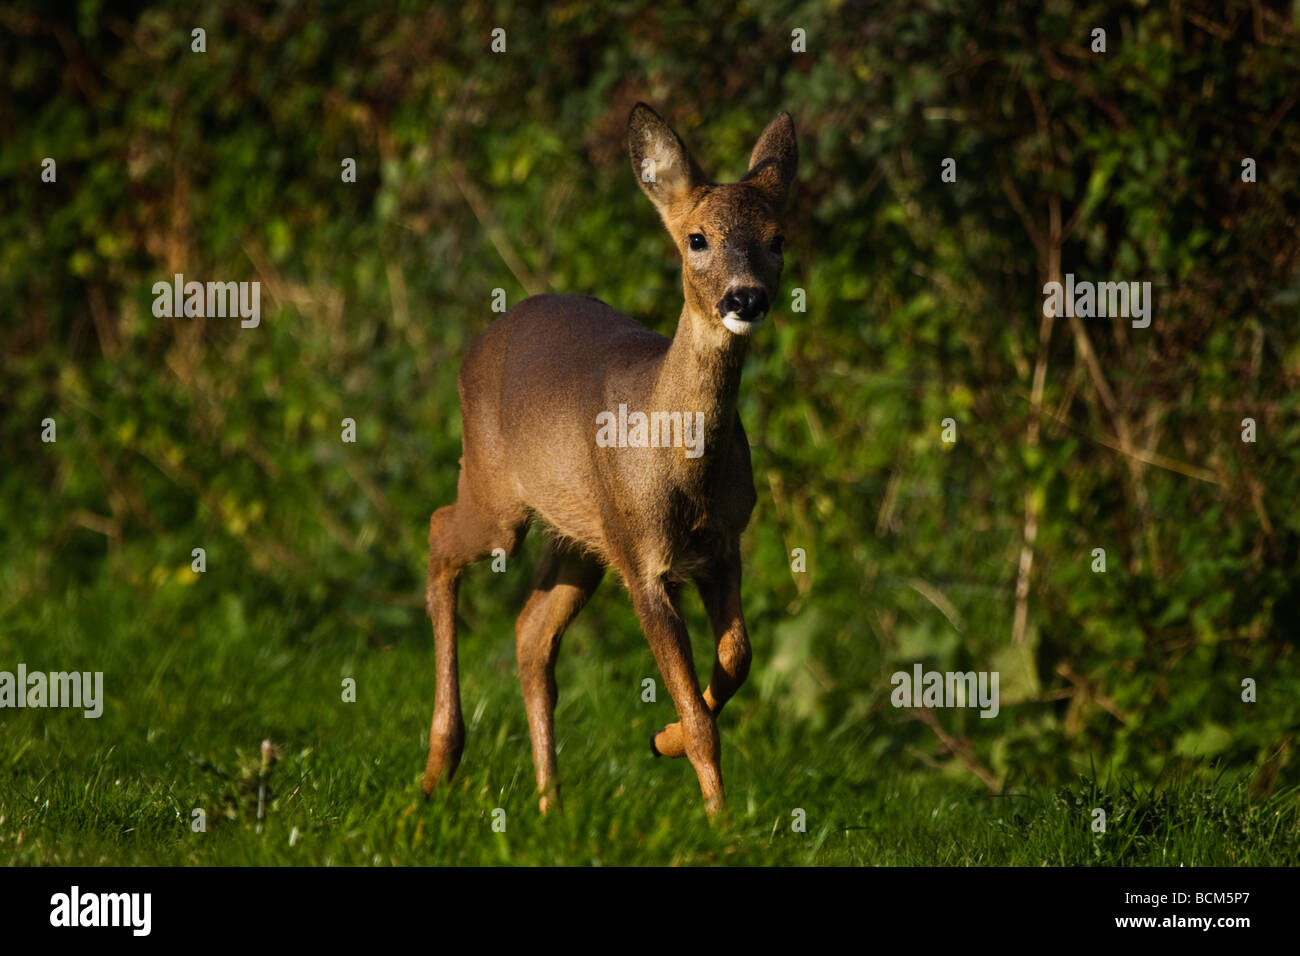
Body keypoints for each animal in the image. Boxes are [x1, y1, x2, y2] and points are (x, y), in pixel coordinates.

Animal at [421, 103, 797, 819]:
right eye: (697, 238)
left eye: (778, 238)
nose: (746, 299)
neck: (678, 461)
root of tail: (479, 340)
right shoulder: (644, 561)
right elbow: (705, 717)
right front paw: (718, 819)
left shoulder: (722, 546)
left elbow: (739, 657)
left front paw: (661, 738)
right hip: (499, 494)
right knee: (437, 531)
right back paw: (440, 764)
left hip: (582, 536)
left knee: (530, 631)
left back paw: (549, 805)